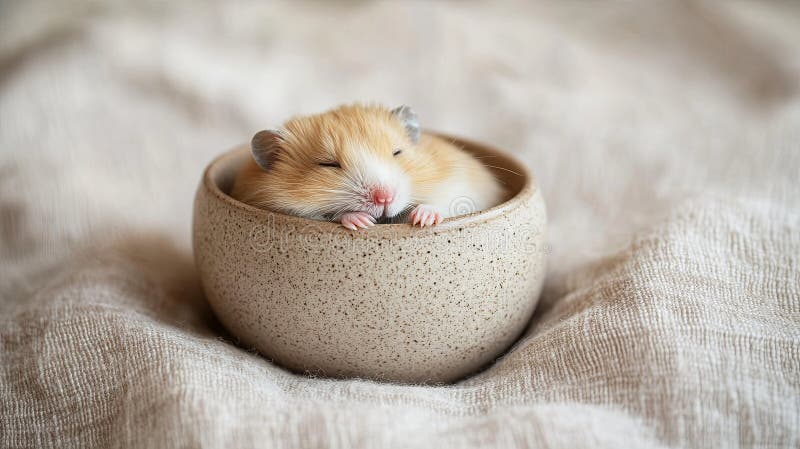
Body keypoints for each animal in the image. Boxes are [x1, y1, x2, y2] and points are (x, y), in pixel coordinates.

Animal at [230, 104, 504, 230]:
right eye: (328, 164)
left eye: (397, 152)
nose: (384, 198)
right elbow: (327, 215)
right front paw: (361, 221)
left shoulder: (460, 183)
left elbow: (444, 202)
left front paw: (423, 219)